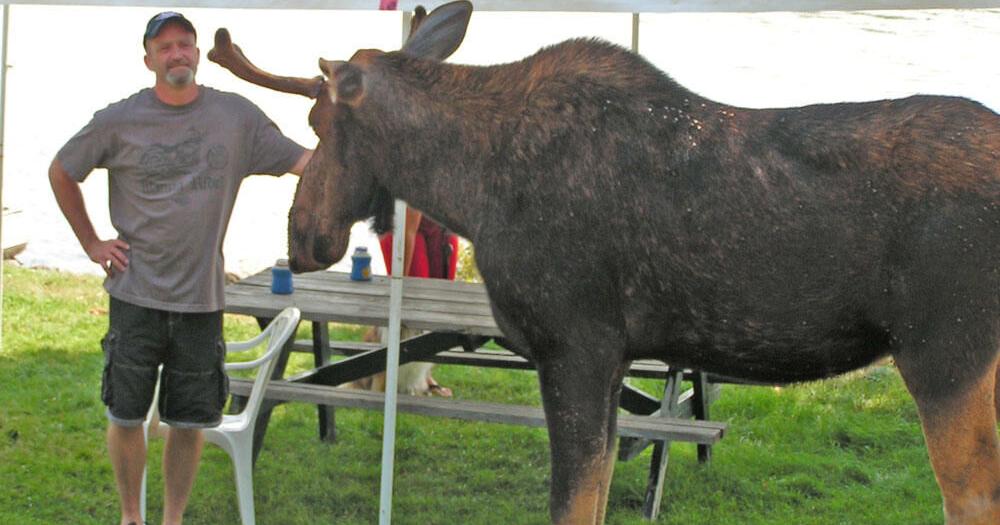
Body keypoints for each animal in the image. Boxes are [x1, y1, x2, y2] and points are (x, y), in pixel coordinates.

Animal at [208, 2, 999, 523]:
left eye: (318, 121)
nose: (301, 238)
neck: (468, 188)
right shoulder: (609, 358)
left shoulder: (575, 344)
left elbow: (573, 501)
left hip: (944, 349)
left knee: (971, 494)